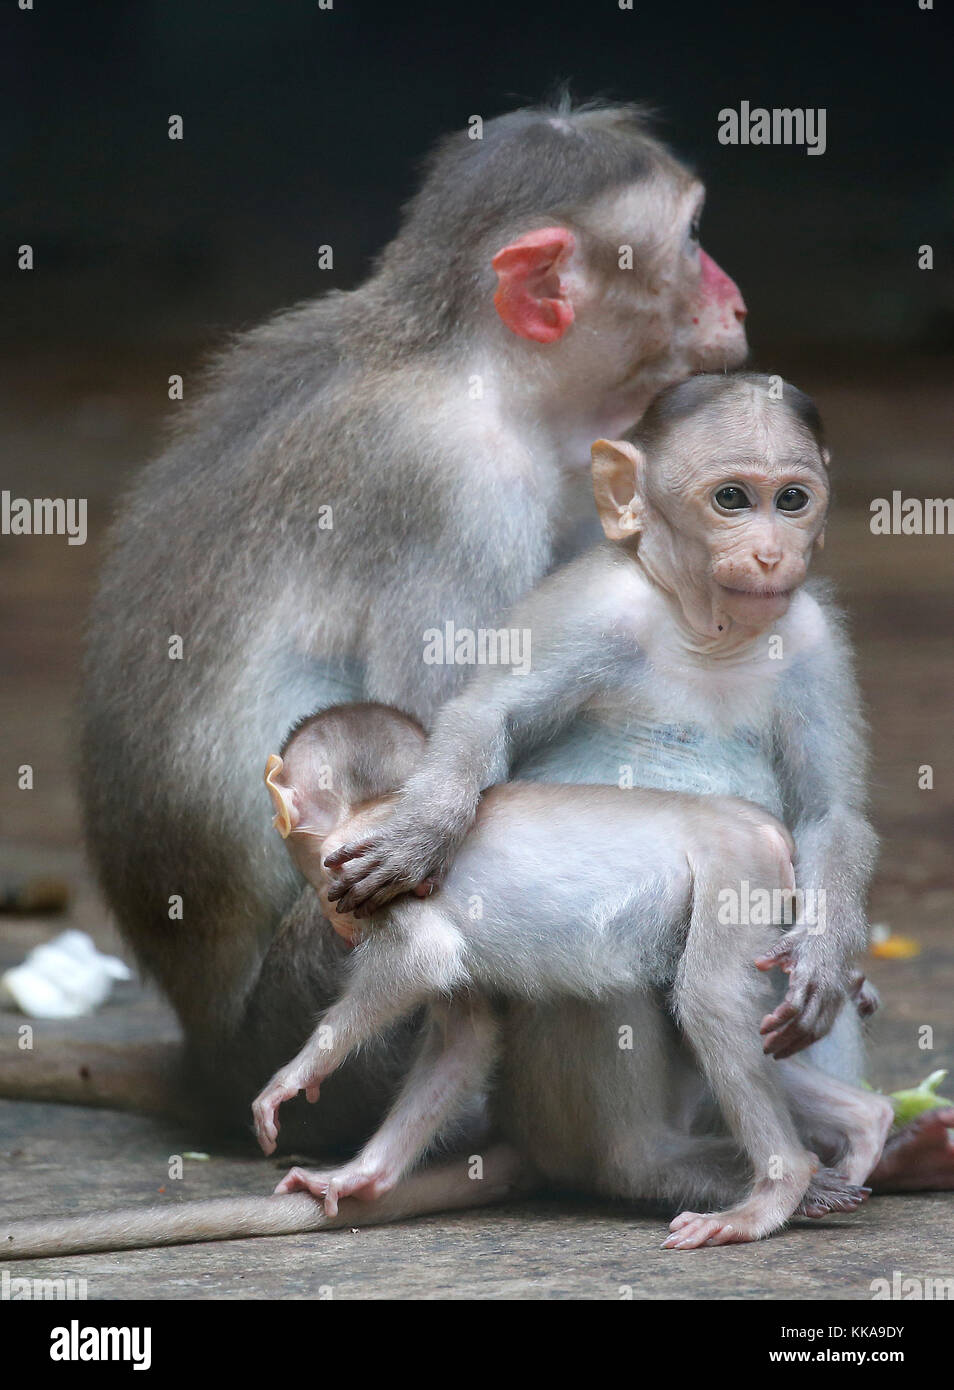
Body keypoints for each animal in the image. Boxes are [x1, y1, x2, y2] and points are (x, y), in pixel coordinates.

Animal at [70, 100, 748, 1145]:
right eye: (690, 240)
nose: (736, 297)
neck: (471, 368)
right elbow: (439, 740)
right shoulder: (458, 494)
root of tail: (209, 1063)